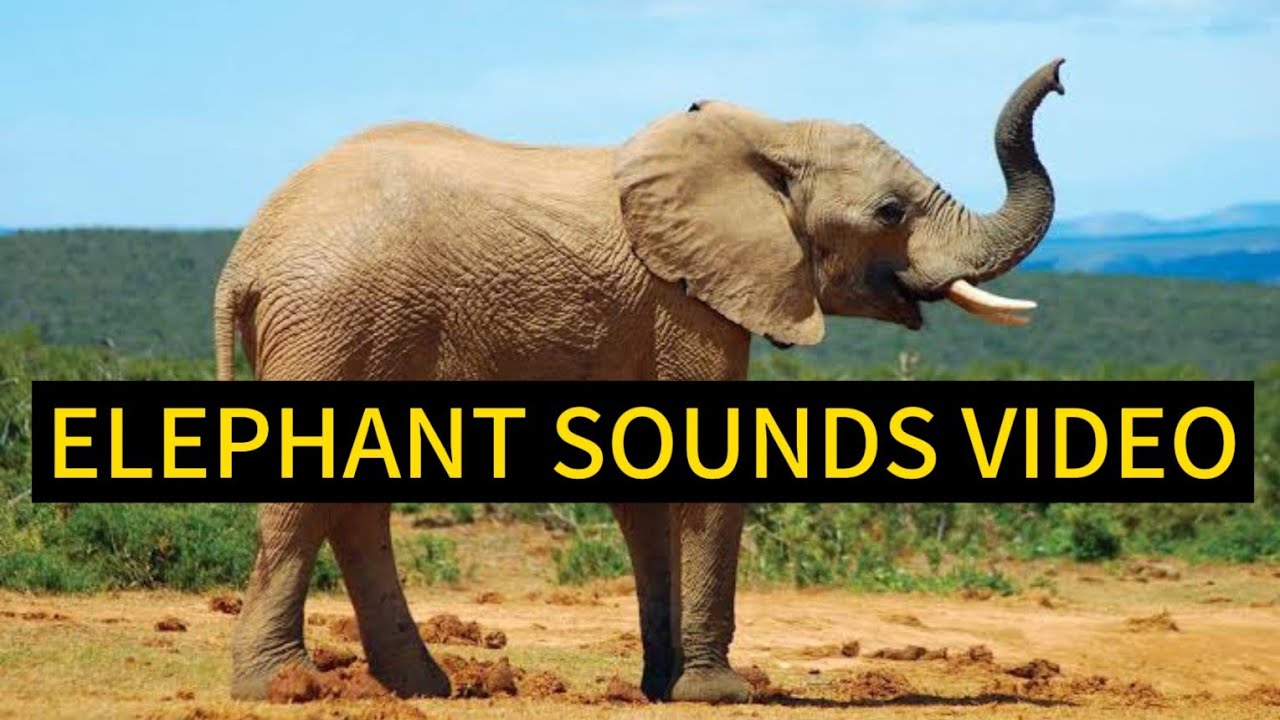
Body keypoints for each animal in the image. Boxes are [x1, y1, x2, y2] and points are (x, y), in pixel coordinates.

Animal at [213, 58, 1066, 703]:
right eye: (890, 211)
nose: (1061, 75)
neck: (767, 137)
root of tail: (245, 257)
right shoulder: (686, 297)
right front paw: (721, 695)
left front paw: (667, 690)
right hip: (333, 320)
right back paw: (283, 689)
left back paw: (422, 687)